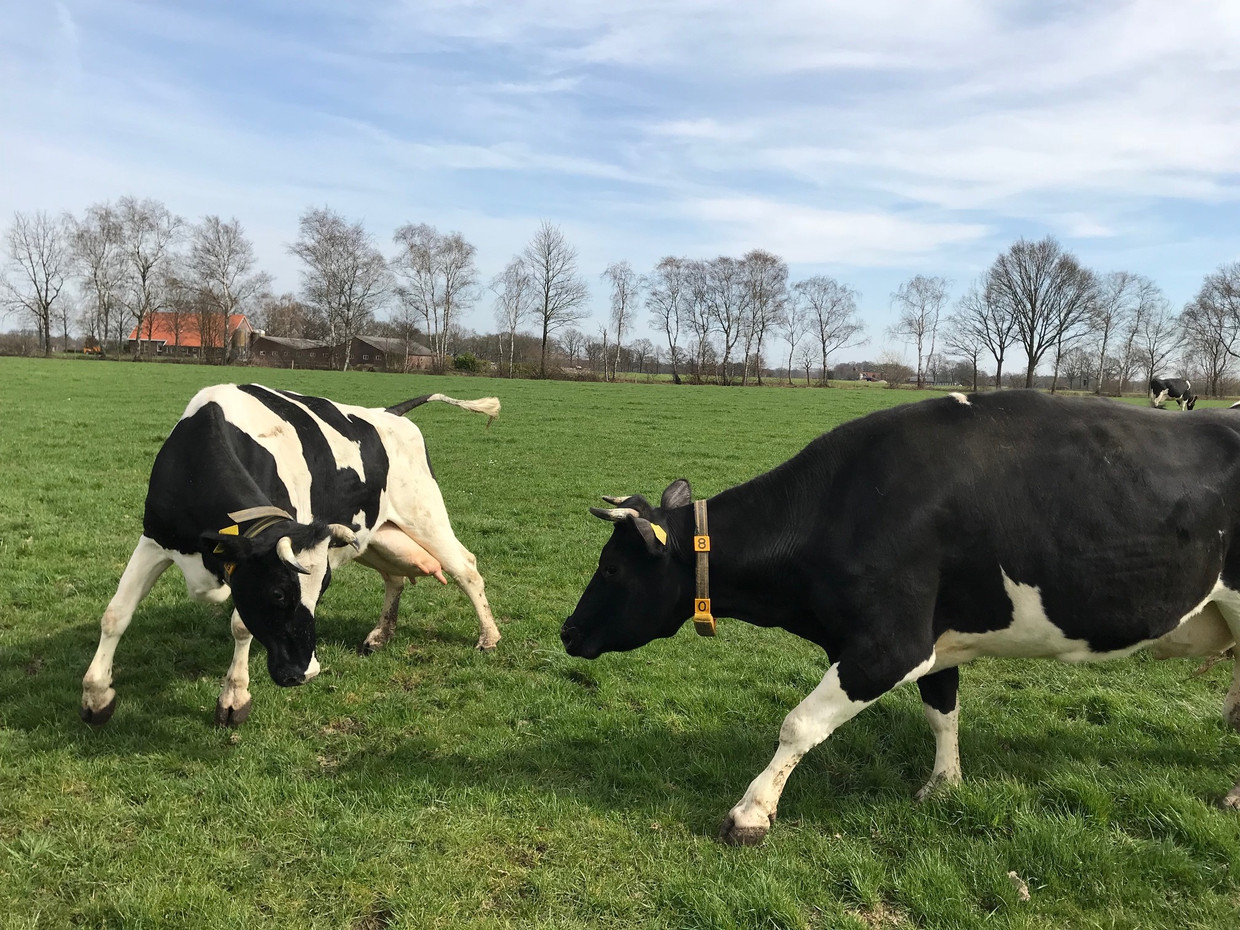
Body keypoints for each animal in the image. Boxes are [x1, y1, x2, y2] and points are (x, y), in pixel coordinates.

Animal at [82, 384, 501, 728]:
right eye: (279, 592)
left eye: (323, 589)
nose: (306, 673)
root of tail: (389, 412)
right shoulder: (154, 541)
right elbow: (115, 615)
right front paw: (96, 695)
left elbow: (241, 626)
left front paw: (235, 698)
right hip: (374, 536)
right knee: (394, 576)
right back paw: (380, 635)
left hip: (425, 514)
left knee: (466, 567)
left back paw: (489, 636)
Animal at [561, 390, 1240, 845]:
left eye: (612, 569)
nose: (566, 632)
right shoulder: (933, 641)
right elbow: (943, 712)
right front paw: (945, 786)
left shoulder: (889, 643)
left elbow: (798, 724)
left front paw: (750, 815)